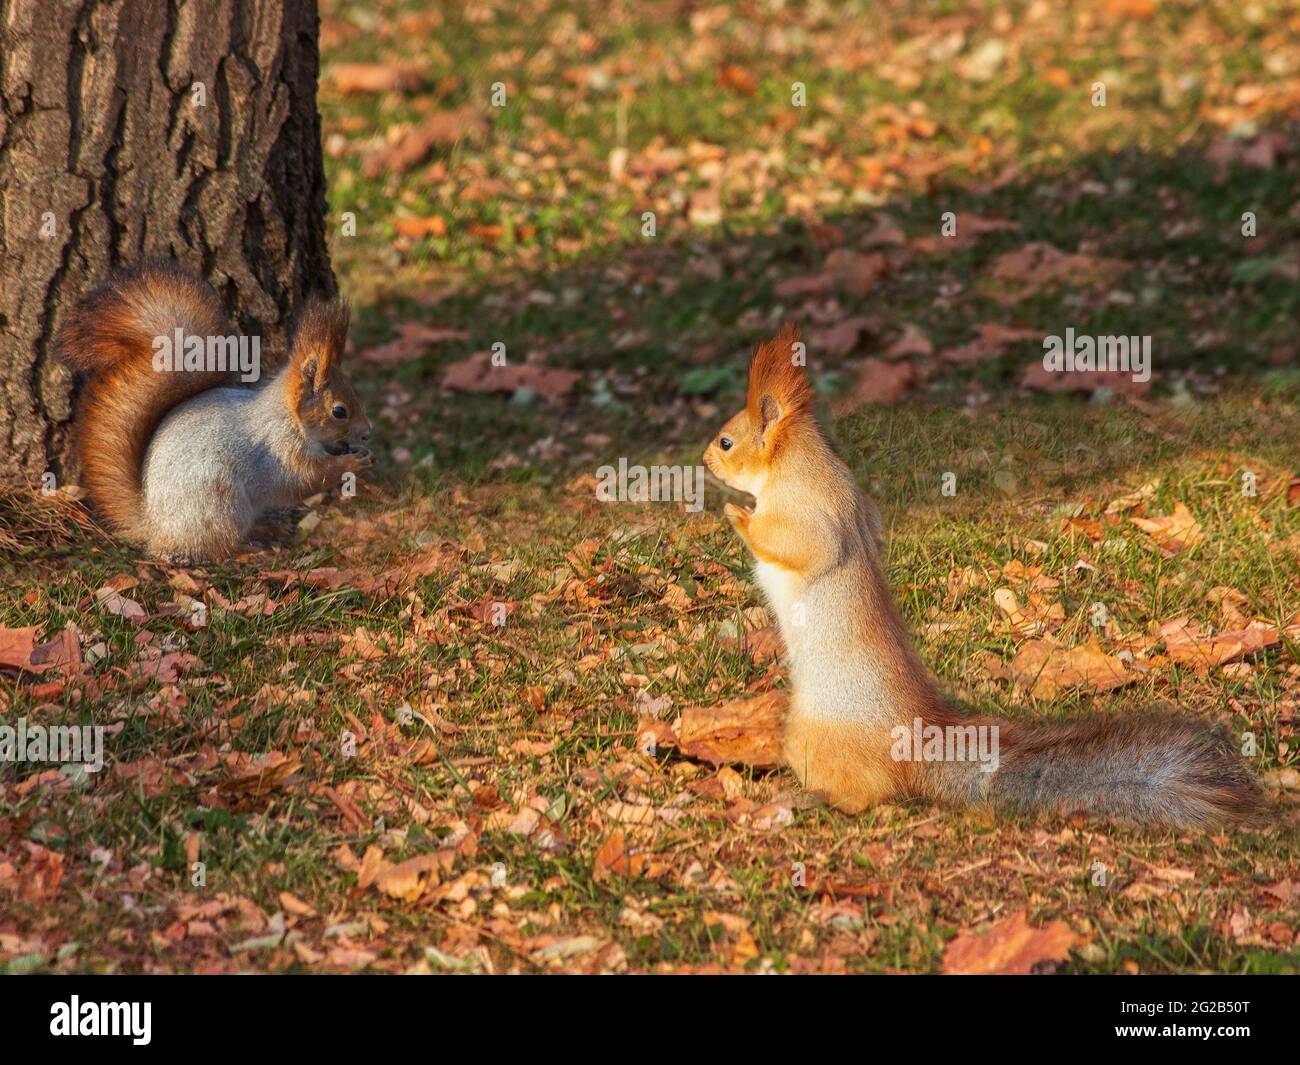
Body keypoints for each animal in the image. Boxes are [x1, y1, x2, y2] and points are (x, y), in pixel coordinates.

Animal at [56, 262, 372, 564]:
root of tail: (155, 527)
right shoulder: (281, 451)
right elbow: (306, 478)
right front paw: (351, 464)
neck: (287, 419)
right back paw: (249, 547)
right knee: (219, 547)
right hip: (222, 505)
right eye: (339, 411)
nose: (368, 433)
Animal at [704, 324, 1262, 829]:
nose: (704, 461)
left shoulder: (810, 512)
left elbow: (800, 546)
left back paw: (804, 798)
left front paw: (737, 514)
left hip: (817, 744)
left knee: (864, 797)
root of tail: (913, 752)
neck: (793, 463)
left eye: (727, 441)